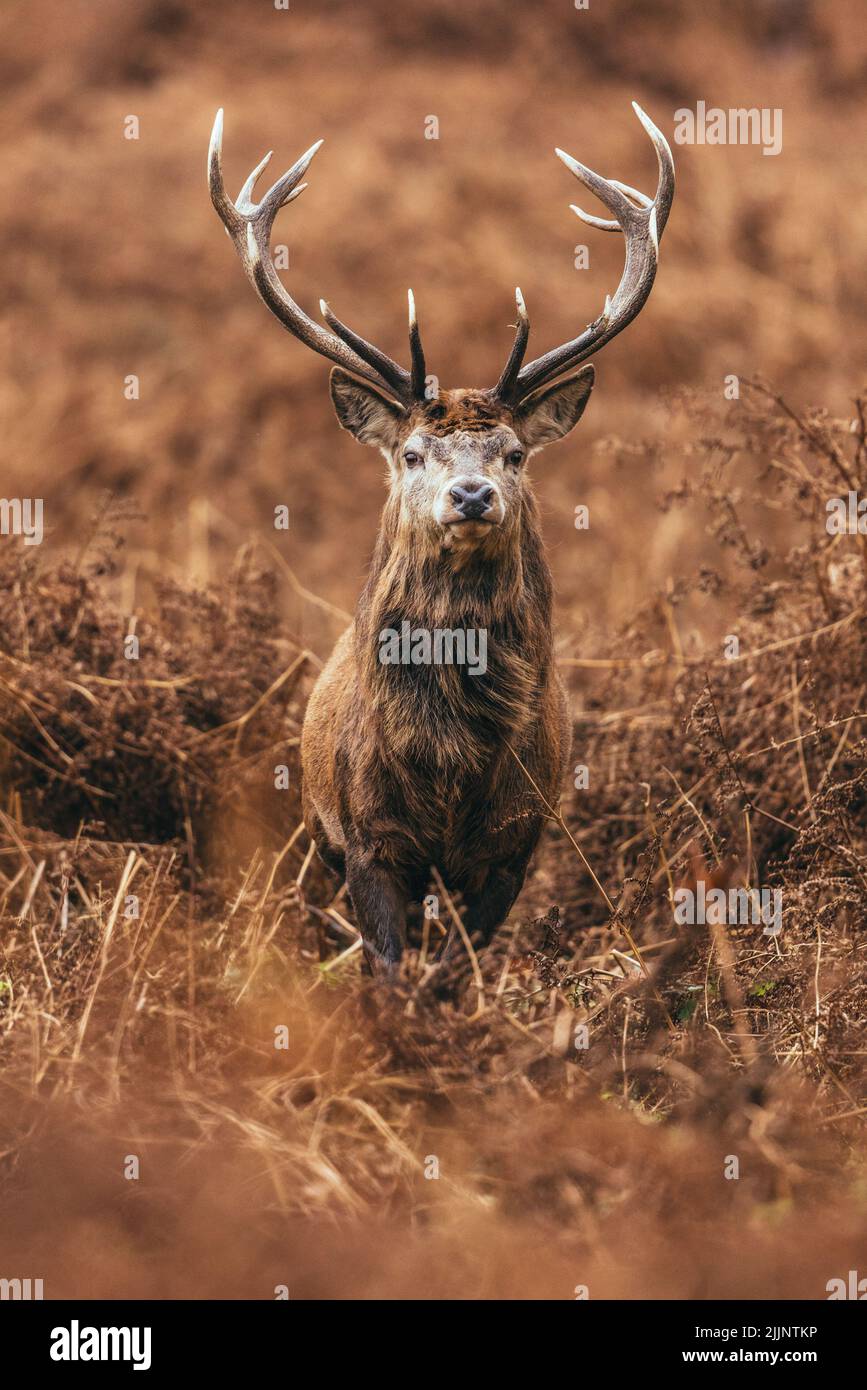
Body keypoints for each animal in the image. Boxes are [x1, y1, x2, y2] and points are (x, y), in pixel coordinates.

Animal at [208, 103, 674, 976]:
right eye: (413, 454)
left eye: (515, 454)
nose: (470, 494)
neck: (450, 766)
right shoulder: (367, 838)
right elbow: (391, 970)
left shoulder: (513, 845)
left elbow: (457, 973)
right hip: (315, 832)